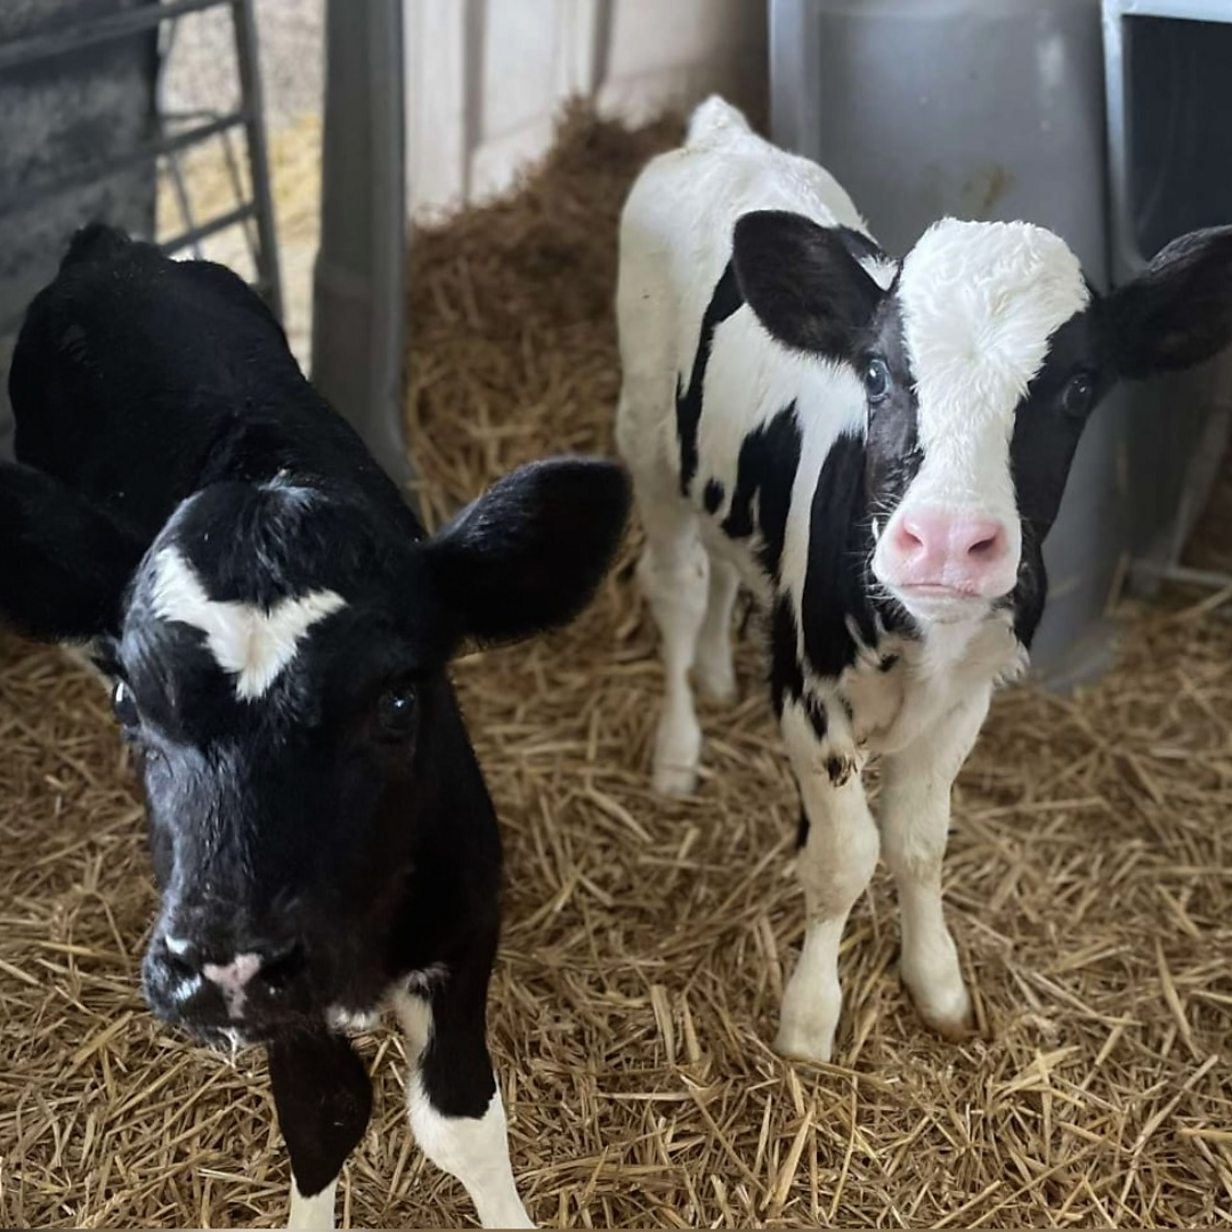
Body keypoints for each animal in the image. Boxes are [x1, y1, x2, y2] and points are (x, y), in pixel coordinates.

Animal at [1, 225, 630, 1229]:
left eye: (400, 702)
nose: (225, 967)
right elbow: (323, 1113)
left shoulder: (468, 922)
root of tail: (110, 249)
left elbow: (459, 1119)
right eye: (132, 703)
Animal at [615, 97, 1232, 1065]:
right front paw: (808, 1020)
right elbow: (844, 858)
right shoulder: (809, 697)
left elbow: (918, 843)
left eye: (1079, 387)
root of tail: (722, 135)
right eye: (877, 371)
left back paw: (715, 671)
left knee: (722, 565)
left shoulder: (967, 699)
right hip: (646, 432)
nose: (945, 541)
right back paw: (679, 745)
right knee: (675, 582)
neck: (922, 637)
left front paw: (936, 982)